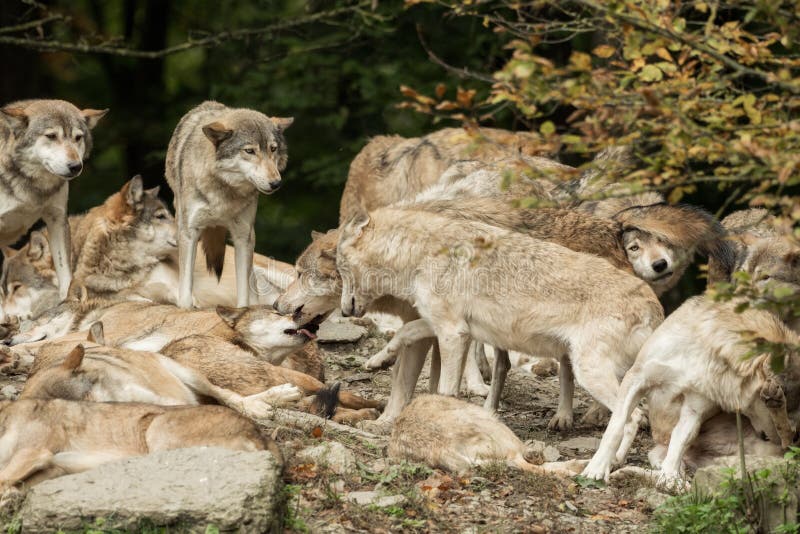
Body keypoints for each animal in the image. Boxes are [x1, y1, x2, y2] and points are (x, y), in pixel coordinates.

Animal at [0, 99, 107, 302]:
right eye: (51, 136)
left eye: (77, 138)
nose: (75, 166)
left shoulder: (57, 219)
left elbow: (65, 273)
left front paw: (68, 300)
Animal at [166, 101, 293, 309]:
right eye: (249, 151)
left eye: (273, 149)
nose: (276, 183)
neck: (224, 192)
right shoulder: (189, 233)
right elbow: (185, 293)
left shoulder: (242, 236)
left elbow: (244, 294)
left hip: (251, 239)